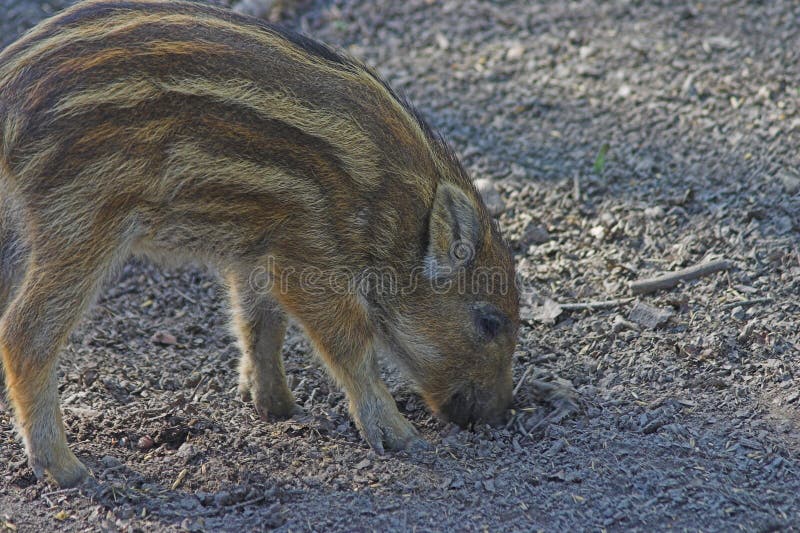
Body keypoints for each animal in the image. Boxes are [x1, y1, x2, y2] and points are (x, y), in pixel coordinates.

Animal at [0, 0, 519, 487]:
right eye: (489, 321)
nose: (500, 417)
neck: (390, 211)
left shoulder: (257, 250)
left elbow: (259, 323)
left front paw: (277, 408)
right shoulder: (306, 257)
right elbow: (350, 344)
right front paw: (401, 439)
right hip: (80, 220)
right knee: (24, 333)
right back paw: (67, 470)